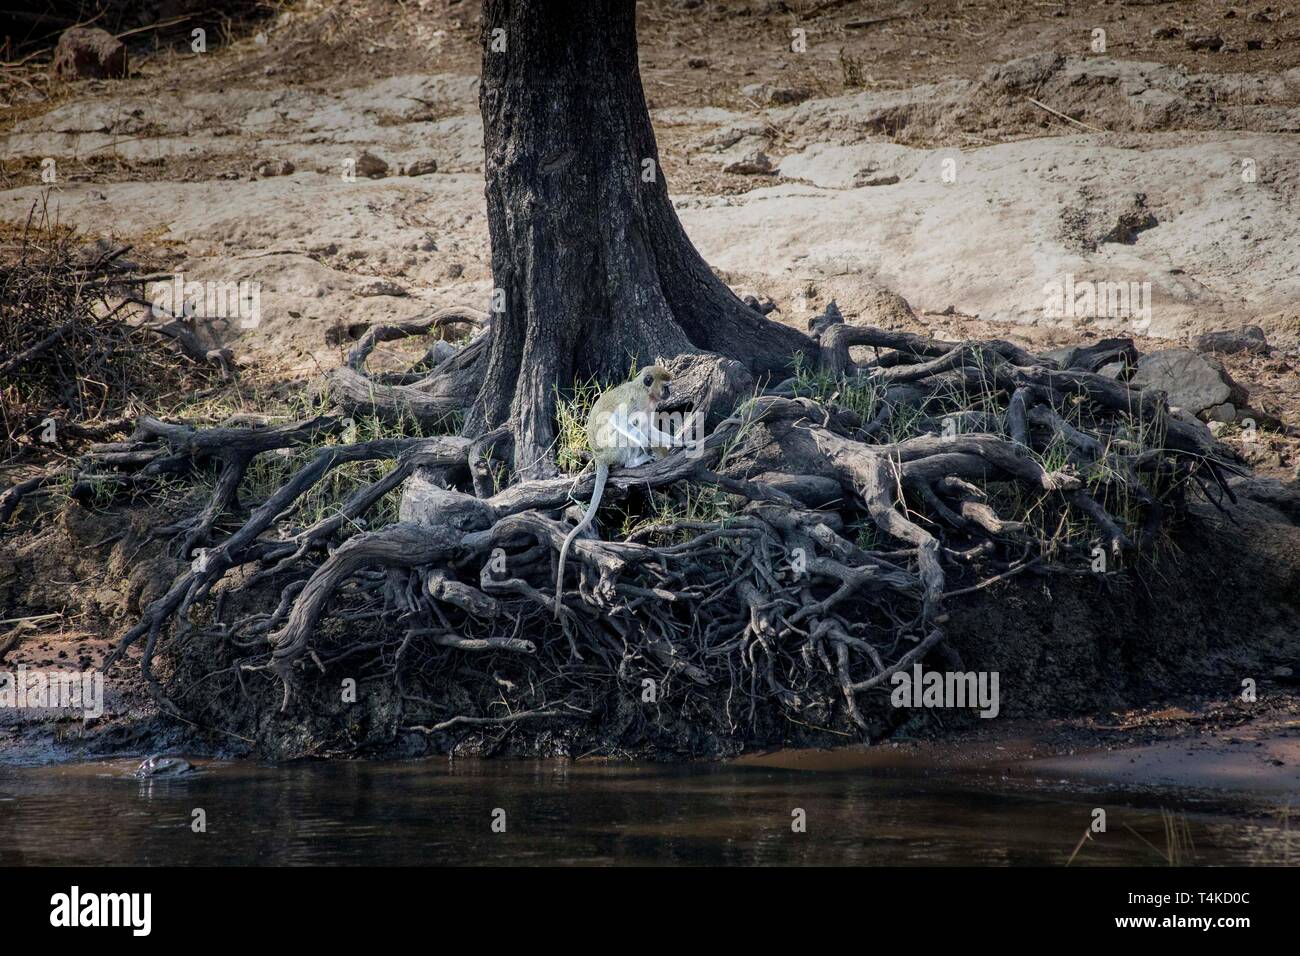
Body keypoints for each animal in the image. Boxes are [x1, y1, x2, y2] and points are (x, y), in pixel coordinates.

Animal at [554, 365, 674, 617]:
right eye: (666, 385)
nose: (668, 393)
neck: (645, 392)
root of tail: (598, 456)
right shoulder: (636, 401)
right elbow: (624, 423)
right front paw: (648, 445)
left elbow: (650, 428)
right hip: (612, 449)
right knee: (624, 429)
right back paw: (634, 462)